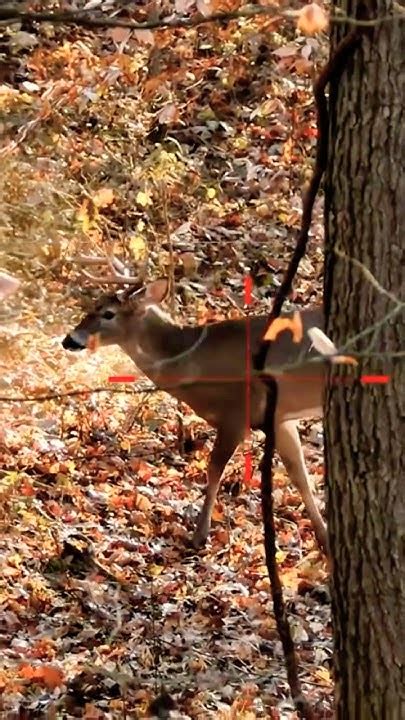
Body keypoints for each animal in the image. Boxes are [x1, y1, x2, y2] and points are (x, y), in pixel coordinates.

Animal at [62, 254, 327, 552]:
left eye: (108, 313)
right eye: (94, 304)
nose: (69, 339)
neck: (194, 360)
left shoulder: (236, 412)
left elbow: (214, 471)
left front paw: (199, 535)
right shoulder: (279, 418)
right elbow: (300, 475)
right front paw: (324, 537)